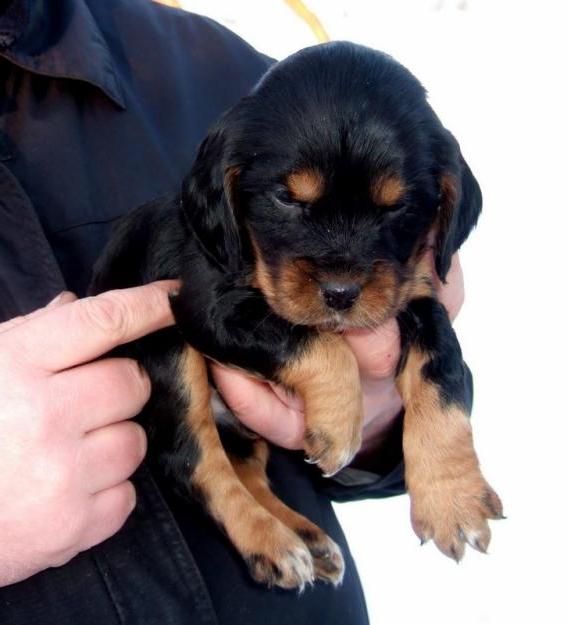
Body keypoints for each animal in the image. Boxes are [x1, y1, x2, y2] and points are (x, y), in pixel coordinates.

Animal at [91, 41, 504, 588]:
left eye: (397, 206)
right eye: (287, 198)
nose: (341, 293)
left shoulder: (417, 296)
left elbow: (444, 376)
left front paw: (453, 499)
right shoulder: (204, 305)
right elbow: (314, 340)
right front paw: (339, 425)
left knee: (245, 468)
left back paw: (306, 539)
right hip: (169, 351)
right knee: (193, 461)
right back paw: (273, 544)